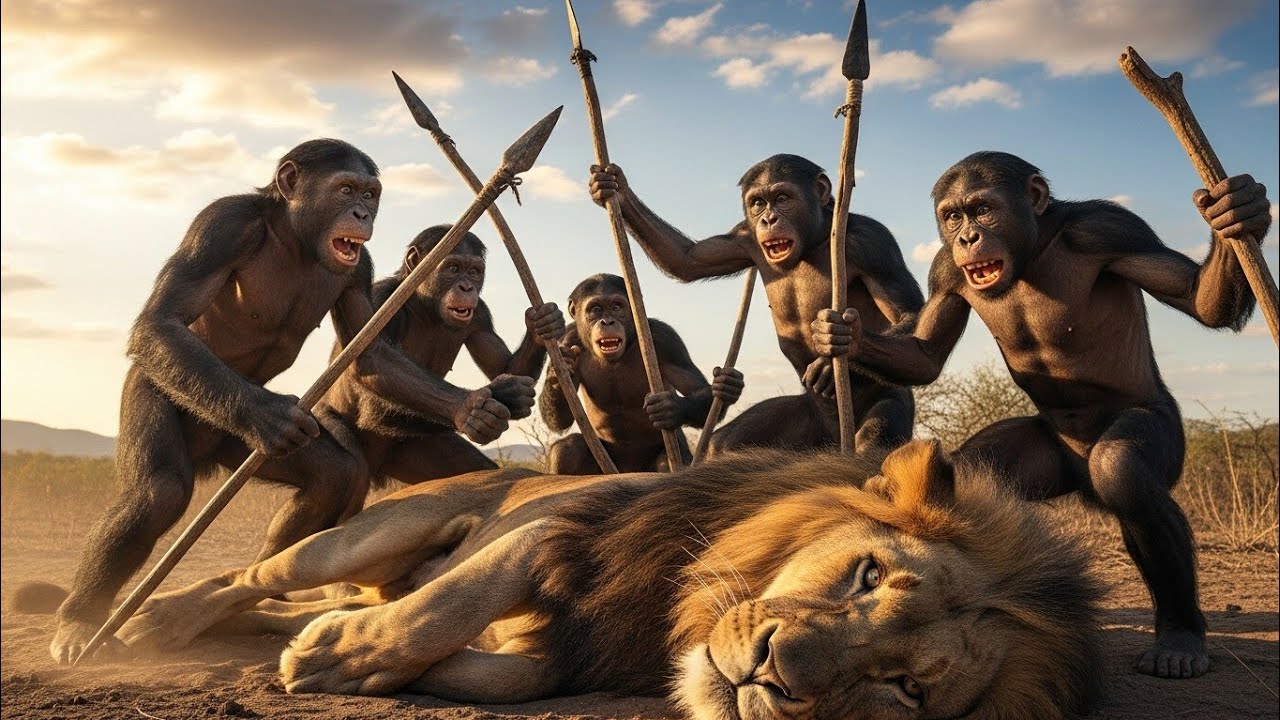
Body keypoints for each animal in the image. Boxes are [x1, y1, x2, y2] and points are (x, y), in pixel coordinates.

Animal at [104, 440, 1103, 719]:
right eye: (866, 576)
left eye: (903, 688)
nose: (770, 674)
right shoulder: (564, 530)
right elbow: (452, 601)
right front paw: (346, 662)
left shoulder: (576, 641)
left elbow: (520, 672)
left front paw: (385, 670)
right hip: (375, 533)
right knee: (251, 572)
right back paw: (130, 627)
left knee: (284, 605)